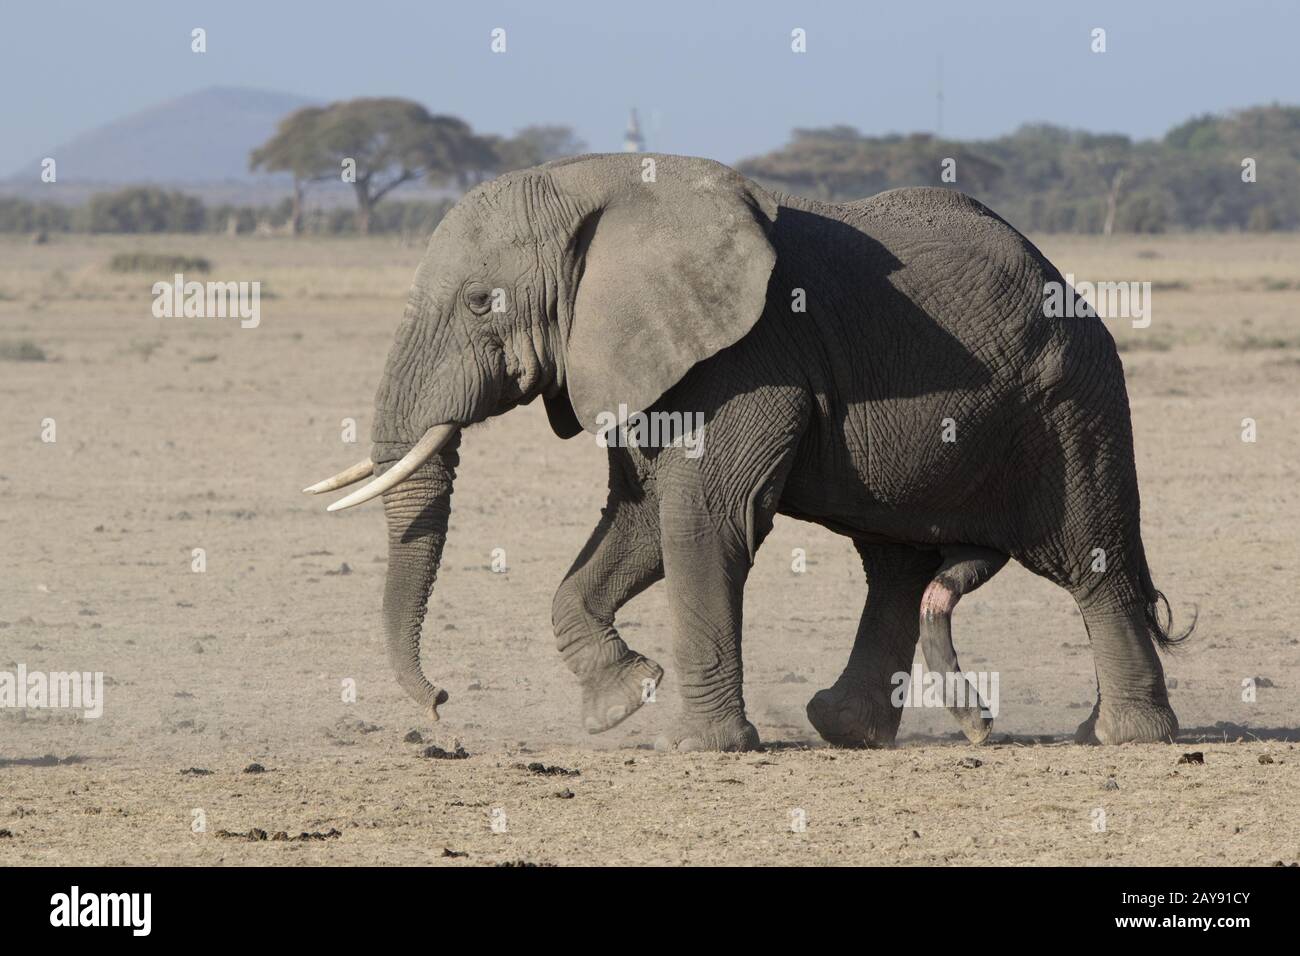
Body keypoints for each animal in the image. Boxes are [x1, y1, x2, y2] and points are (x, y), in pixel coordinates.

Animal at [304, 152, 1190, 750]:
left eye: (480, 301)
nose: (440, 706)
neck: (606, 185)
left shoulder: (748, 355)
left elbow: (704, 520)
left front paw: (697, 746)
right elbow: (641, 519)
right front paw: (622, 701)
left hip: (1073, 405)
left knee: (1091, 557)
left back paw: (1122, 738)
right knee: (898, 566)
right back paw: (851, 730)